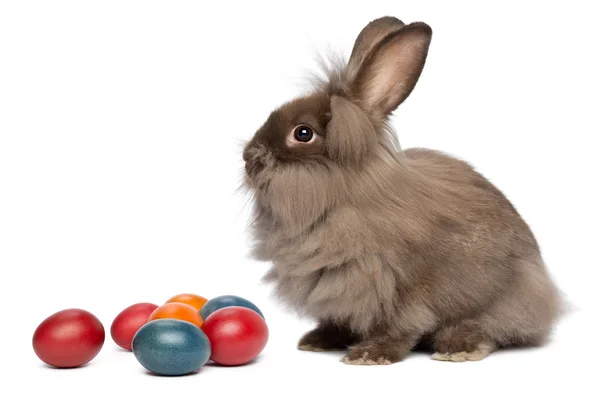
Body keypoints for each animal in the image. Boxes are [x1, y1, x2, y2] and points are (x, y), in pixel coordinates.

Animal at [241, 17, 560, 366]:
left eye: (303, 133)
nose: (249, 158)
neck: (343, 201)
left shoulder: (400, 290)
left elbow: (398, 326)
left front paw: (369, 355)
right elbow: (341, 318)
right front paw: (319, 340)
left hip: (502, 298)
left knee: (491, 327)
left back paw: (458, 348)